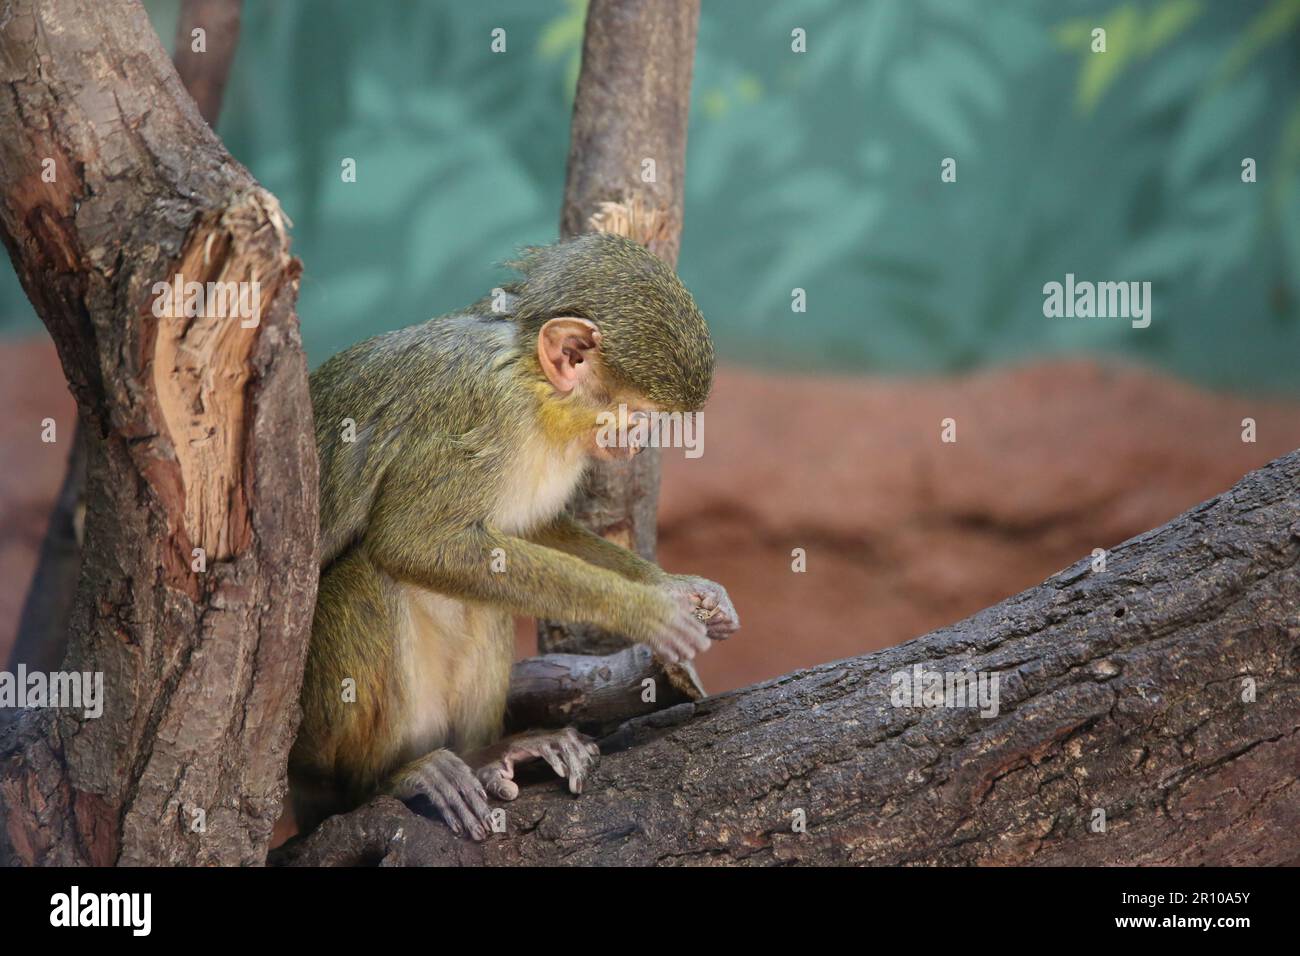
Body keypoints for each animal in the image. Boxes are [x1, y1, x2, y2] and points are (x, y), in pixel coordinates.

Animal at [289, 232, 740, 840]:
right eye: (638, 415)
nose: (638, 442)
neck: (534, 387)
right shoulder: (478, 408)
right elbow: (412, 543)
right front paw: (642, 609)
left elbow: (527, 531)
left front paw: (676, 587)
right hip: (314, 746)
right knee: (369, 577)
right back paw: (392, 778)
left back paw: (488, 755)